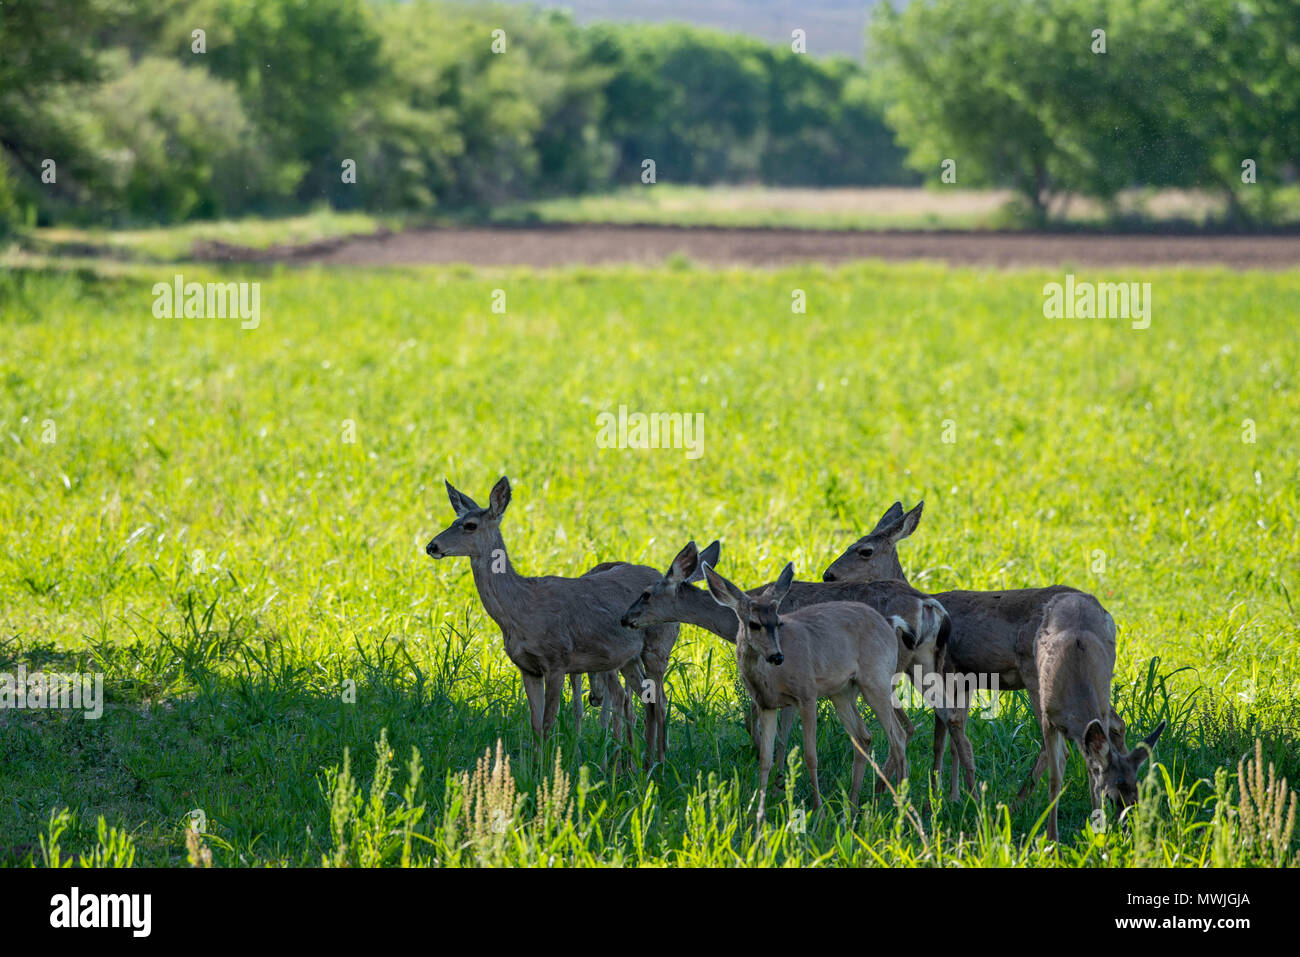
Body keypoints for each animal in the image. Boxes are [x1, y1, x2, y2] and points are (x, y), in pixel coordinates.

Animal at [424, 477, 678, 768]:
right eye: (454, 520)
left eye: (470, 525)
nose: (432, 546)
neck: (521, 610)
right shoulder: (527, 667)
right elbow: (535, 724)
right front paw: (535, 767)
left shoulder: (557, 660)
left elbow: (548, 723)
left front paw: (548, 770)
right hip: (628, 659)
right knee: (643, 701)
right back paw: (640, 764)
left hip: (659, 645)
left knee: (660, 701)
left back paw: (657, 762)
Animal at [621, 540, 952, 782]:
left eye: (646, 593)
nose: (626, 618)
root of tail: (928, 603)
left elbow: (778, 728)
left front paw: (779, 776)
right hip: (920, 664)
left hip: (890, 669)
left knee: (903, 726)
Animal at [699, 561, 911, 822]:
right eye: (754, 624)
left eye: (778, 621)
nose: (777, 656)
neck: (771, 678)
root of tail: (890, 623)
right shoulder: (766, 704)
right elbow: (765, 758)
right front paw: (757, 813)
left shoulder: (806, 693)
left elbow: (810, 755)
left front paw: (818, 811)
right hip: (842, 692)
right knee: (864, 736)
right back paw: (851, 810)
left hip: (877, 680)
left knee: (897, 736)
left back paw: (901, 809)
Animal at [822, 500, 1139, 801]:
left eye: (864, 551)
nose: (828, 575)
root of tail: (1105, 617)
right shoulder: (964, 681)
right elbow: (952, 737)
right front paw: (952, 795)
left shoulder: (947, 671)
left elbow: (943, 737)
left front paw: (938, 795)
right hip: (1096, 676)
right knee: (1115, 723)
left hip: (1038, 676)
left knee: (1059, 744)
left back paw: (1021, 799)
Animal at [1029, 590, 1165, 841]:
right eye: (1112, 797)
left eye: (1138, 794)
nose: (1129, 831)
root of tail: (1075, 594)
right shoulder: (1047, 718)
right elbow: (1055, 779)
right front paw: (1052, 839)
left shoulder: (1098, 712)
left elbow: (1092, 776)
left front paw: (1097, 829)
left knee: (1118, 726)